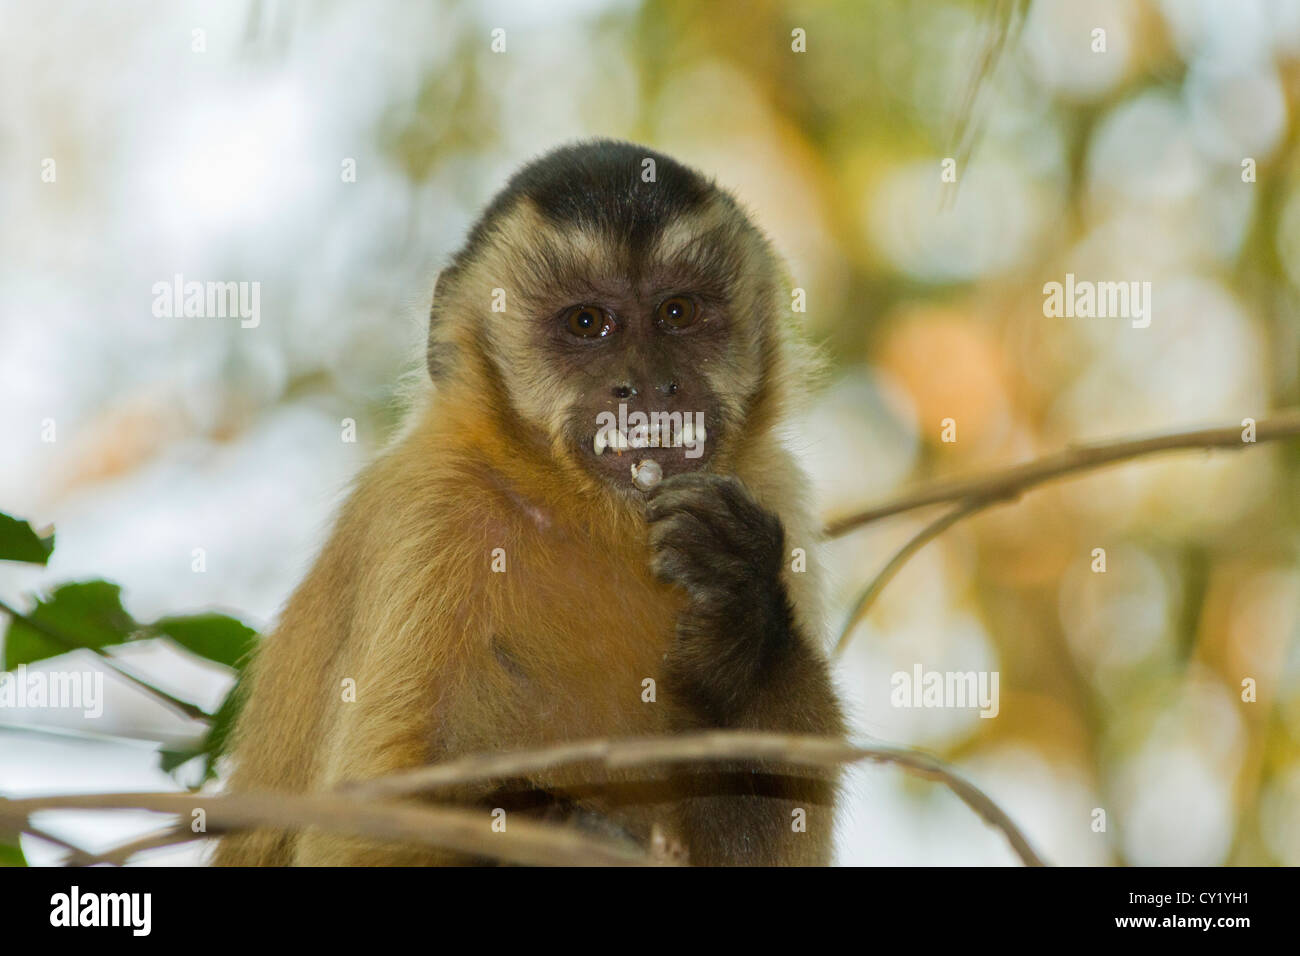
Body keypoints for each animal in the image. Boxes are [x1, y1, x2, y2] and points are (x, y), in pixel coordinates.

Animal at [218, 140, 847, 868]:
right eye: (587, 323)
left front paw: (739, 611)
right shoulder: (430, 510)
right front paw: (568, 829)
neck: (589, 515)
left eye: (678, 312)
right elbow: (363, 839)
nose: (648, 385)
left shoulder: (774, 489)